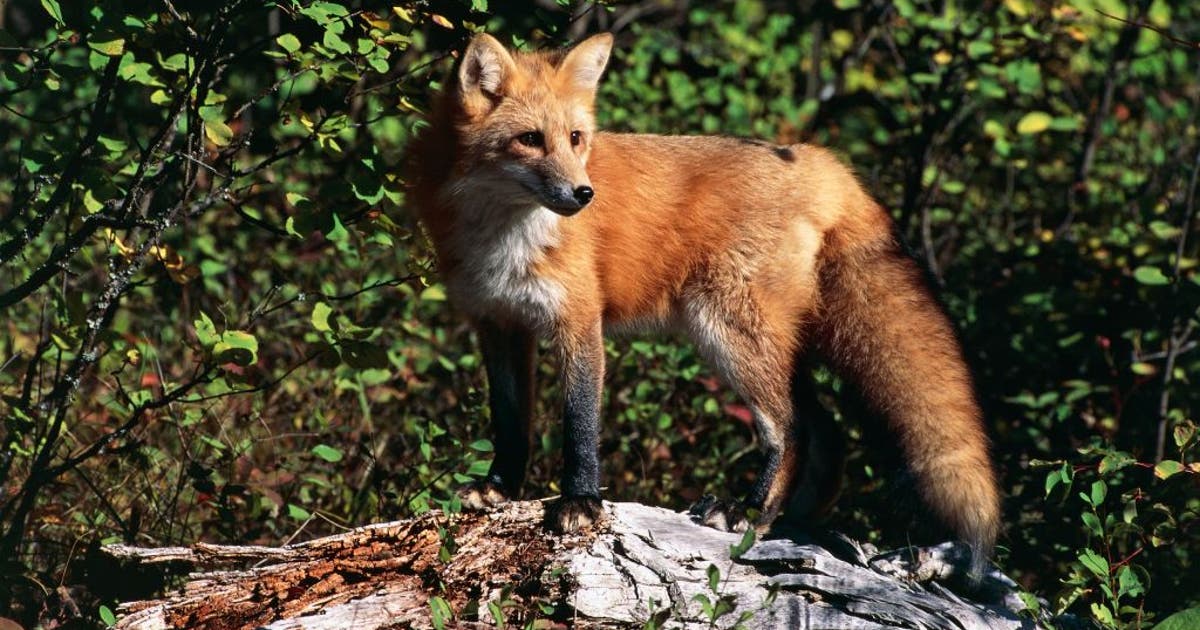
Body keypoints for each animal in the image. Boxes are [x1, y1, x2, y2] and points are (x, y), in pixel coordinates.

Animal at [409, 32, 1001, 573]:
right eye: (530, 139)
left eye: (576, 138)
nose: (584, 195)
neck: (503, 238)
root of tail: (816, 159)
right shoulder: (498, 322)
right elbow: (510, 420)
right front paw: (500, 490)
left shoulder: (578, 321)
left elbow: (579, 423)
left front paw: (580, 502)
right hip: (763, 342)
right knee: (827, 434)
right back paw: (790, 521)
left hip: (727, 332)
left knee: (791, 428)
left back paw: (749, 512)